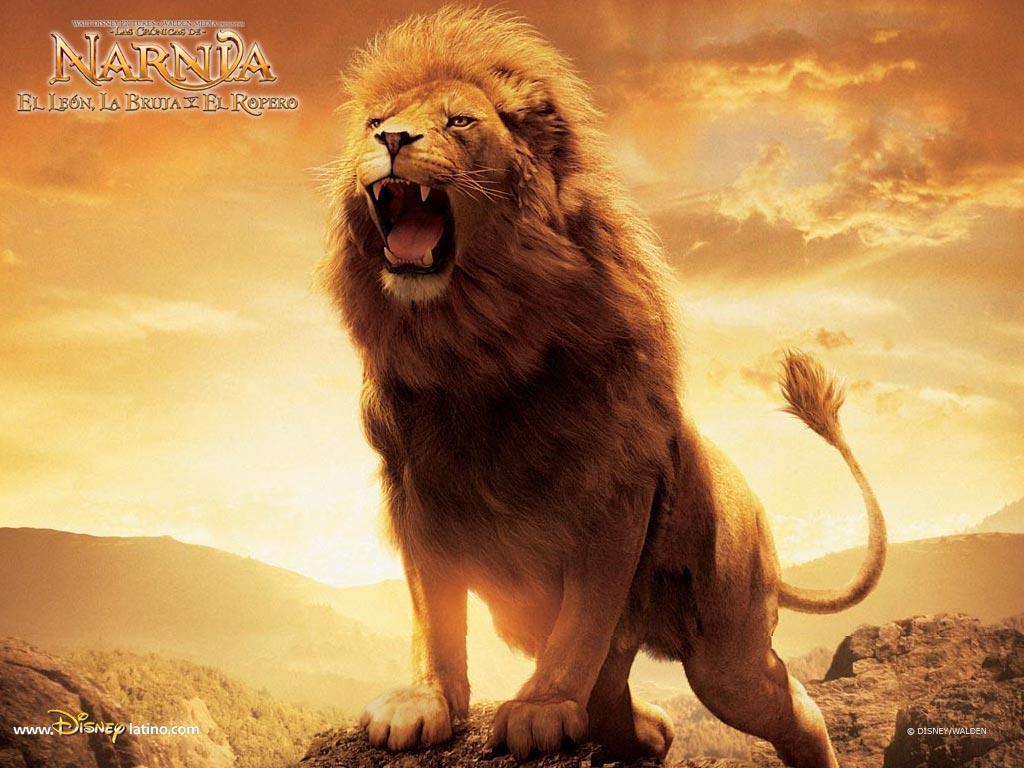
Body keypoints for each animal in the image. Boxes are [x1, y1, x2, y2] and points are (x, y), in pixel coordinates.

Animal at [322, 8, 886, 768]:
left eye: (460, 121)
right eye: (376, 119)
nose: (391, 140)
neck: (472, 343)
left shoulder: (614, 488)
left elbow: (584, 617)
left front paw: (539, 709)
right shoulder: (416, 487)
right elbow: (432, 610)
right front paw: (425, 702)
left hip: (728, 650)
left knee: (787, 705)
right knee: (618, 690)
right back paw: (646, 729)